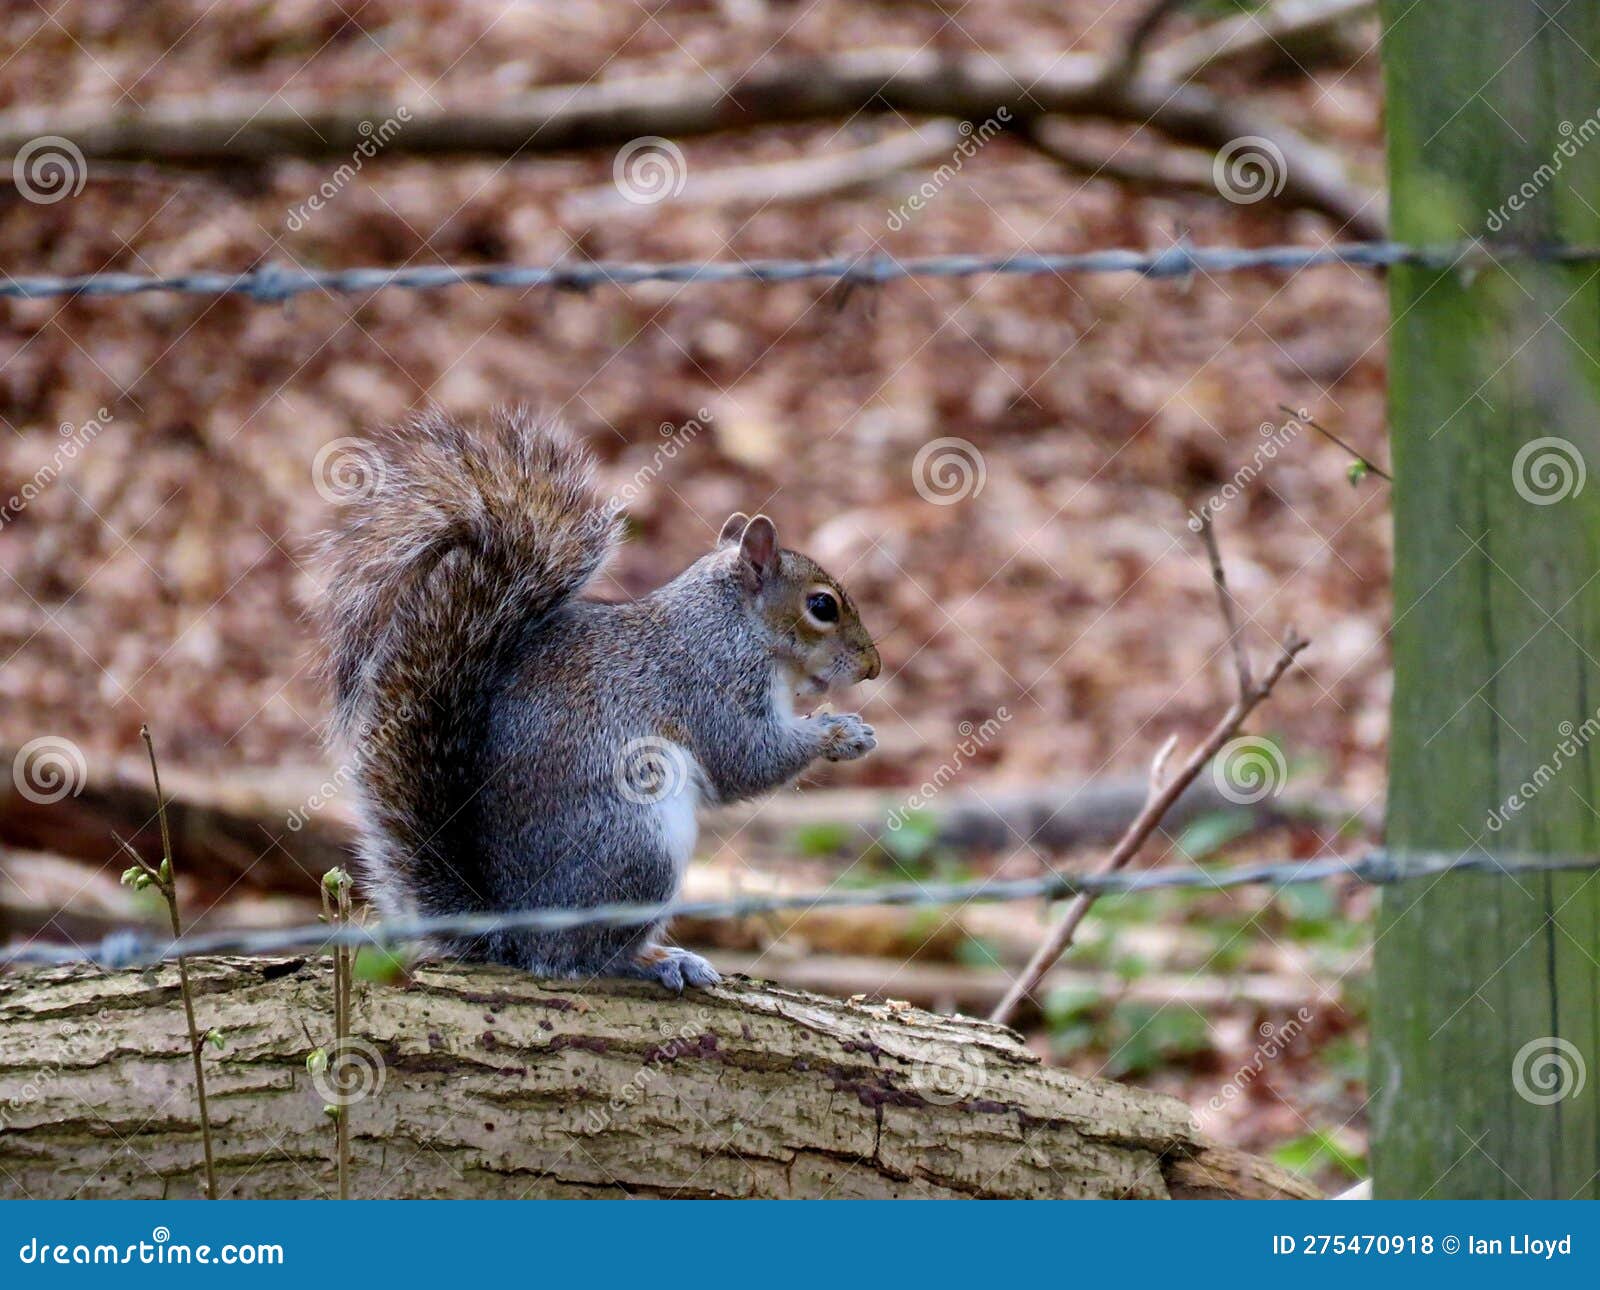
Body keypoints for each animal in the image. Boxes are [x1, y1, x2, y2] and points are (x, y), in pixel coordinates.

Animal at [318, 406, 881, 991]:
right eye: (822, 606)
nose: (873, 667)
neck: (734, 623)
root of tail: (516, 934)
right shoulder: (711, 682)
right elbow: (746, 759)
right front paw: (841, 733)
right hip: (639, 847)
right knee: (585, 957)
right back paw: (656, 960)